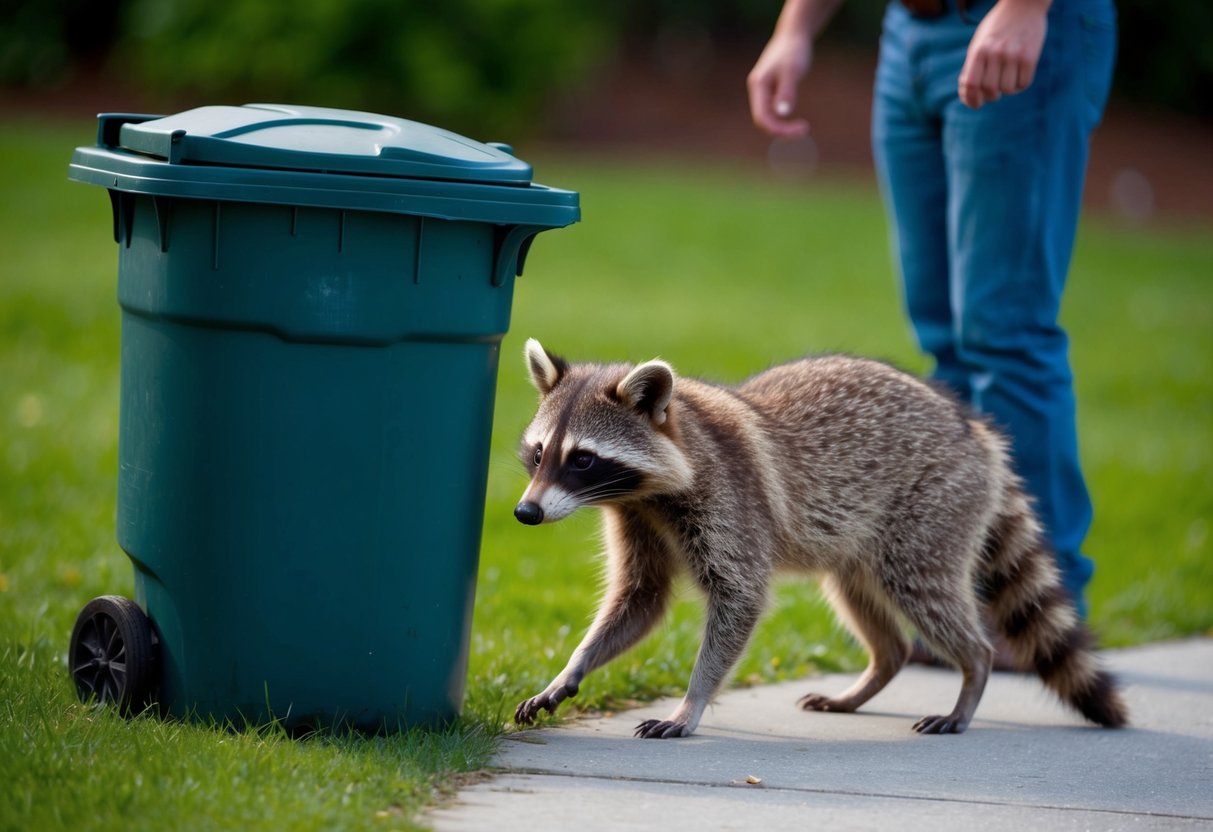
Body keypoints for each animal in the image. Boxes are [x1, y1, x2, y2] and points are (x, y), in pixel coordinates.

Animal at [511, 339, 1127, 739]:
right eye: (539, 454)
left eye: (583, 459)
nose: (525, 512)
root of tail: (973, 428)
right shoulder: (635, 519)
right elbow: (639, 599)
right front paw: (573, 667)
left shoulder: (731, 503)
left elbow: (739, 599)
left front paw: (692, 700)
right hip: (858, 543)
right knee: (868, 609)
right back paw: (878, 669)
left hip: (932, 510)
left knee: (926, 591)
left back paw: (973, 670)